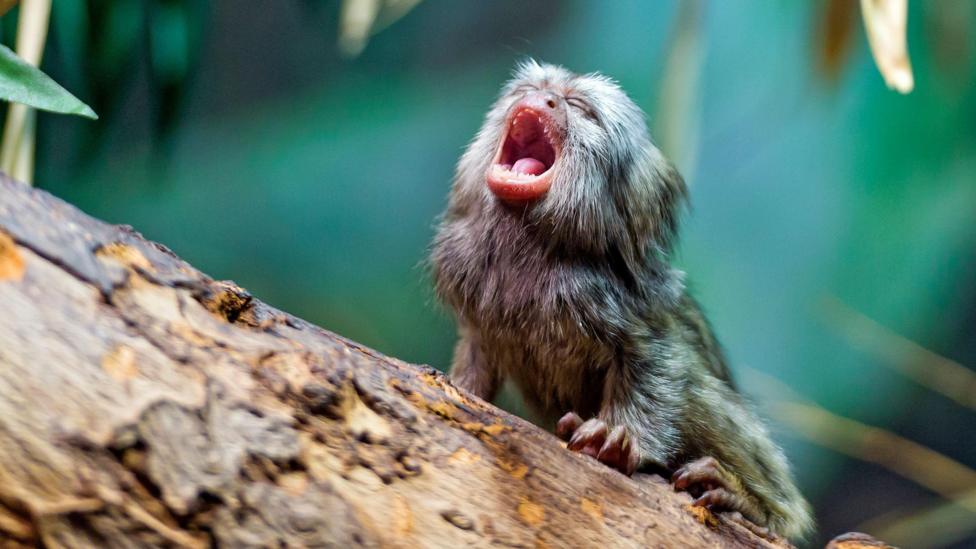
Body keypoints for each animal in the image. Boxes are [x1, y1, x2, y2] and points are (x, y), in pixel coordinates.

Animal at [429, 60, 813, 540]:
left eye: (581, 108)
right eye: (532, 90)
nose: (545, 100)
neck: (531, 251)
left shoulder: (633, 305)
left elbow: (662, 366)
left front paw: (618, 440)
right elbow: (478, 354)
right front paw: (458, 385)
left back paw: (756, 504)